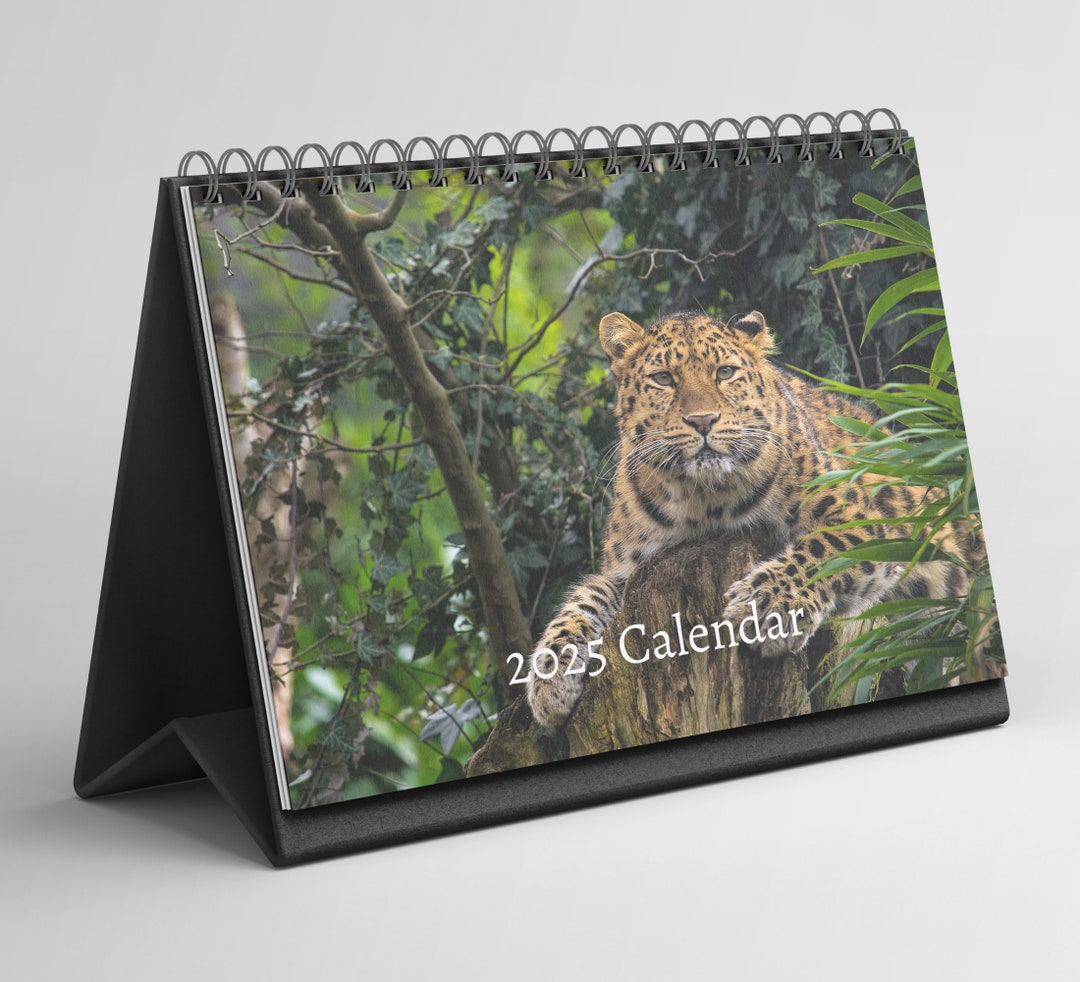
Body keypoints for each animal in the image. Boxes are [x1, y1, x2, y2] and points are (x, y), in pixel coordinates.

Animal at [525, 309, 993, 728]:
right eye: (663, 379)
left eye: (725, 372)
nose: (702, 420)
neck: (704, 500)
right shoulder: (630, 571)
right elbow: (585, 600)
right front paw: (551, 674)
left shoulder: (864, 519)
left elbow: (819, 551)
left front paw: (767, 606)